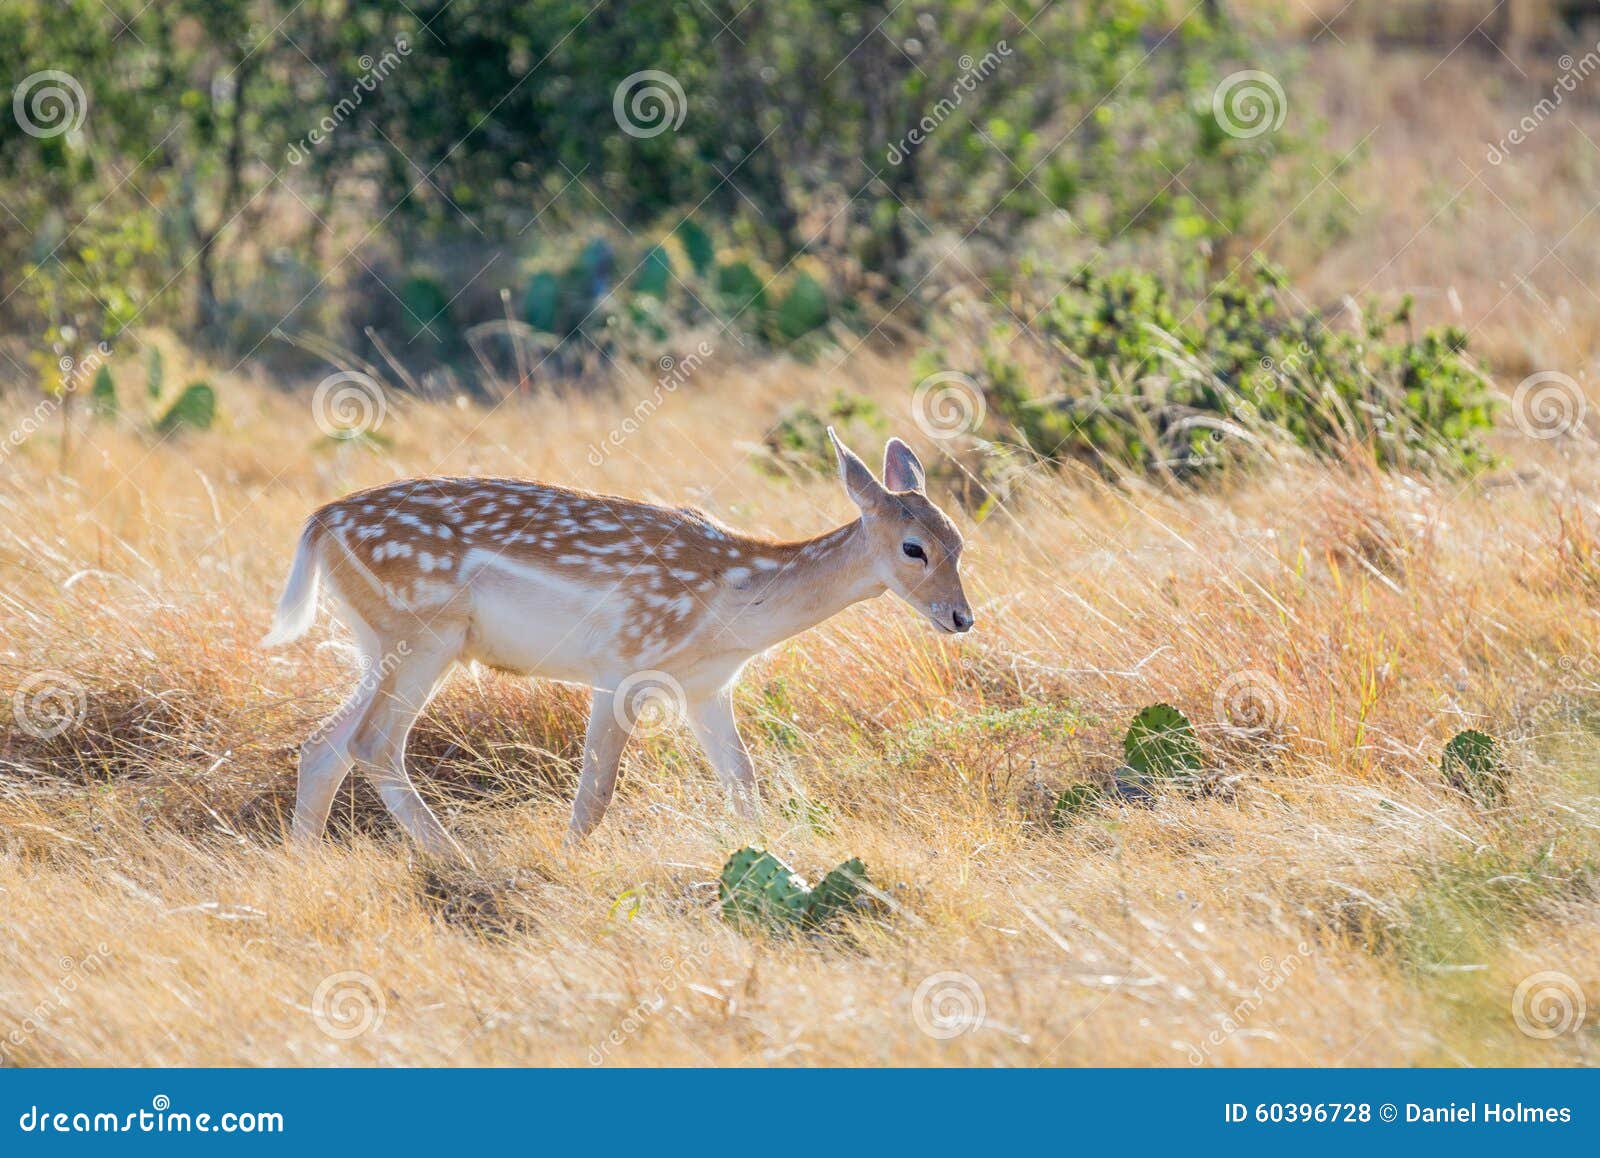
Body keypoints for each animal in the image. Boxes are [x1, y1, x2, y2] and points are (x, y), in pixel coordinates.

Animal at [260, 430, 973, 863]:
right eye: (914, 548)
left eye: (960, 540)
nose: (962, 617)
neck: (739, 599)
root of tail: (318, 524)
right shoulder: (624, 663)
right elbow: (596, 794)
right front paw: (569, 864)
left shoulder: (707, 686)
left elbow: (743, 782)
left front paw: (772, 857)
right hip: (424, 632)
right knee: (372, 742)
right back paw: (462, 860)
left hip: (382, 640)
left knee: (323, 744)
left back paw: (306, 865)